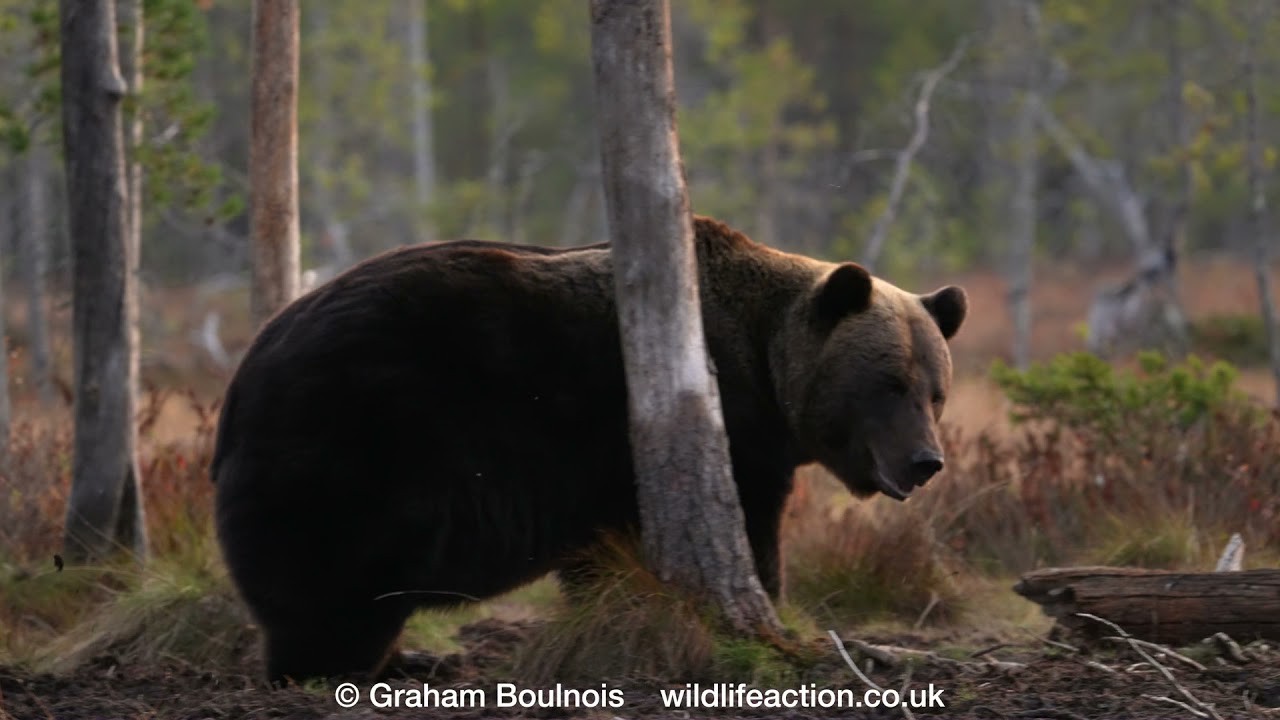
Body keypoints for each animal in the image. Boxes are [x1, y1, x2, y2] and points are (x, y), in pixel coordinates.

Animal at [210, 216, 967, 684]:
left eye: (936, 391)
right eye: (889, 384)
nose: (925, 461)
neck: (763, 366)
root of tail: (244, 372)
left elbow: (599, 558)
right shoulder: (711, 431)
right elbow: (747, 529)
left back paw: (413, 660)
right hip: (355, 440)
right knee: (329, 584)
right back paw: (339, 664)